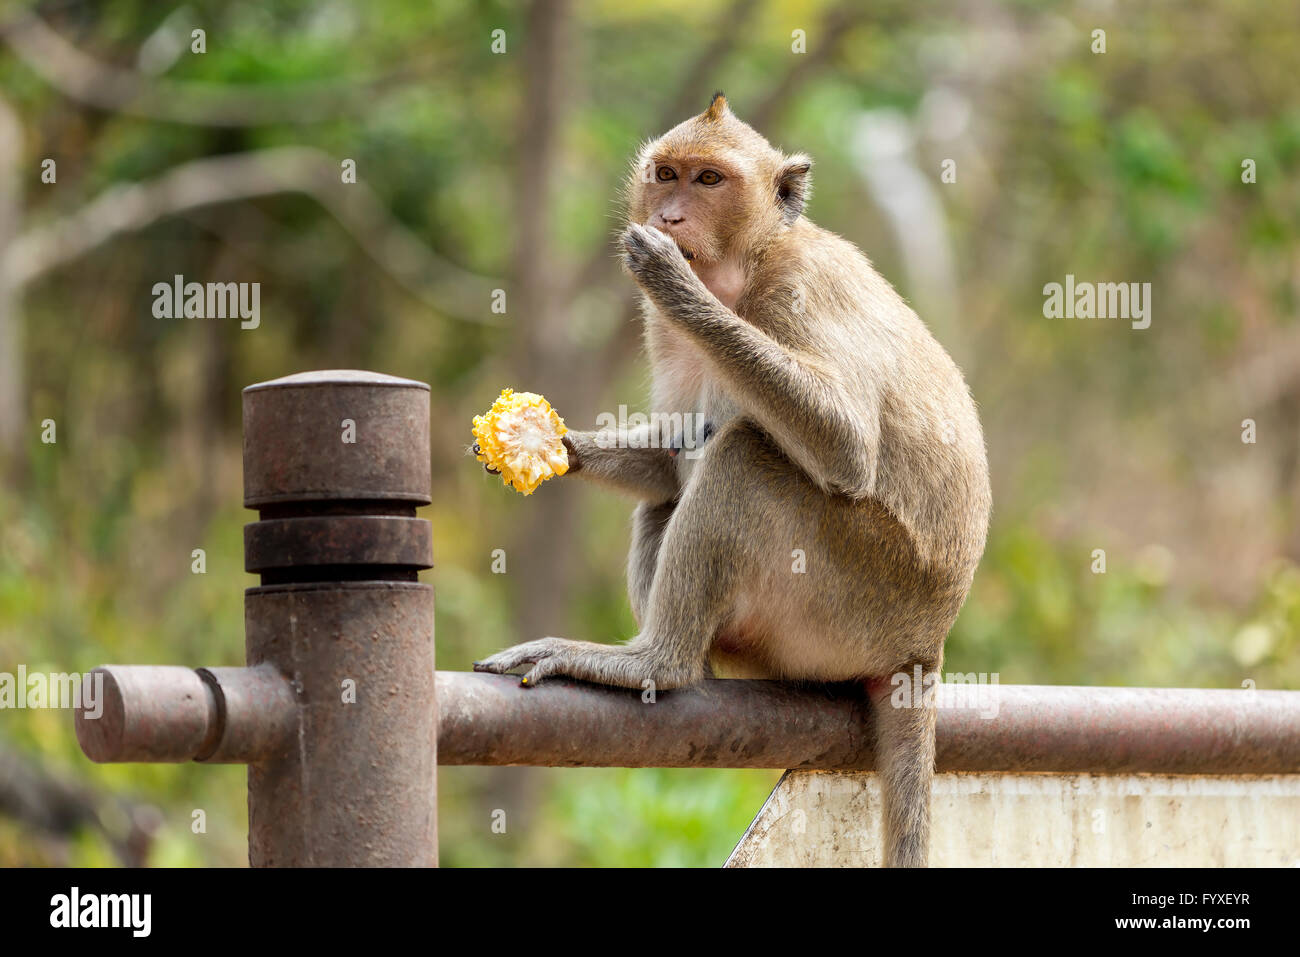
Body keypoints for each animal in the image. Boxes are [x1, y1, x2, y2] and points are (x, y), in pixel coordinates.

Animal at [474, 92, 991, 867]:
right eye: (666, 174)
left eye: (709, 180)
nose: (669, 217)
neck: (742, 271)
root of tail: (924, 648)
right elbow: (668, 456)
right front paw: (550, 443)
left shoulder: (801, 291)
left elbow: (845, 446)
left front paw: (675, 283)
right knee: (668, 493)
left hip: (855, 602)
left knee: (747, 456)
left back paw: (657, 665)